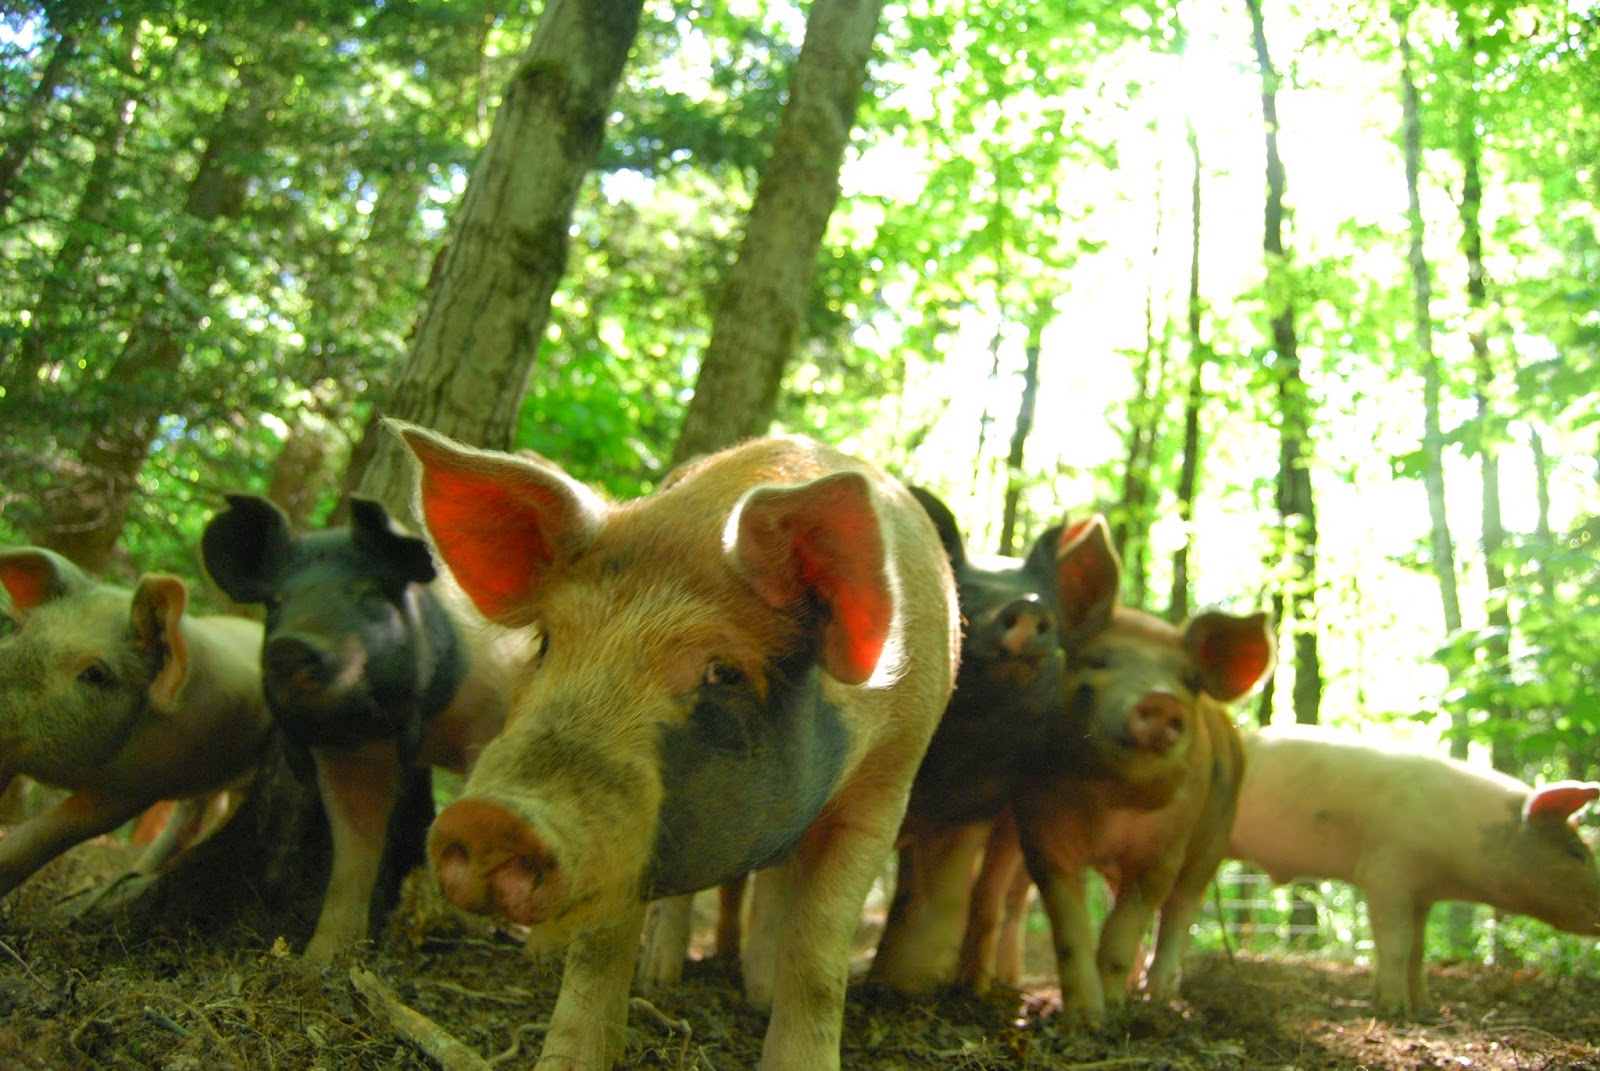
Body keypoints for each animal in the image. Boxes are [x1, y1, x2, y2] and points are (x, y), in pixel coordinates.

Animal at [200, 494, 517, 962]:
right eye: (277, 601)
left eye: (368, 593)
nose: (289, 645)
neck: (431, 730)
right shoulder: (349, 758)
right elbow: (353, 855)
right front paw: (316, 962)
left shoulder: (488, 722)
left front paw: (475, 934)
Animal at [393, 423, 958, 1071]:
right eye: (546, 642)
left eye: (724, 673)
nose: (489, 818)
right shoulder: (630, 837)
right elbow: (599, 946)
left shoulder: (890, 778)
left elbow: (819, 954)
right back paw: (646, 976)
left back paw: (756, 992)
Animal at [869, 487, 1064, 991]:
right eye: (966, 596)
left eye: (1048, 602)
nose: (1029, 605)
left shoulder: (978, 806)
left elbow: (945, 892)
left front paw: (911, 984)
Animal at [957, 515, 1271, 1027]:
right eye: (1099, 661)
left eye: (1189, 682)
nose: (1160, 700)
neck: (1108, 803)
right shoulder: (1043, 834)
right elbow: (1073, 930)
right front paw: (1085, 1019)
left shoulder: (1164, 850)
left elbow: (1127, 928)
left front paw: (1113, 1014)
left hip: (1216, 836)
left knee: (1181, 910)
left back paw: (1158, 995)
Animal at [1227, 724, 1600, 1016]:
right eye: (1576, 852)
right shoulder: (1386, 872)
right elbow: (1396, 944)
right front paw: (1396, 1011)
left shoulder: (1423, 895)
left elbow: (1418, 951)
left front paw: (1426, 1007)